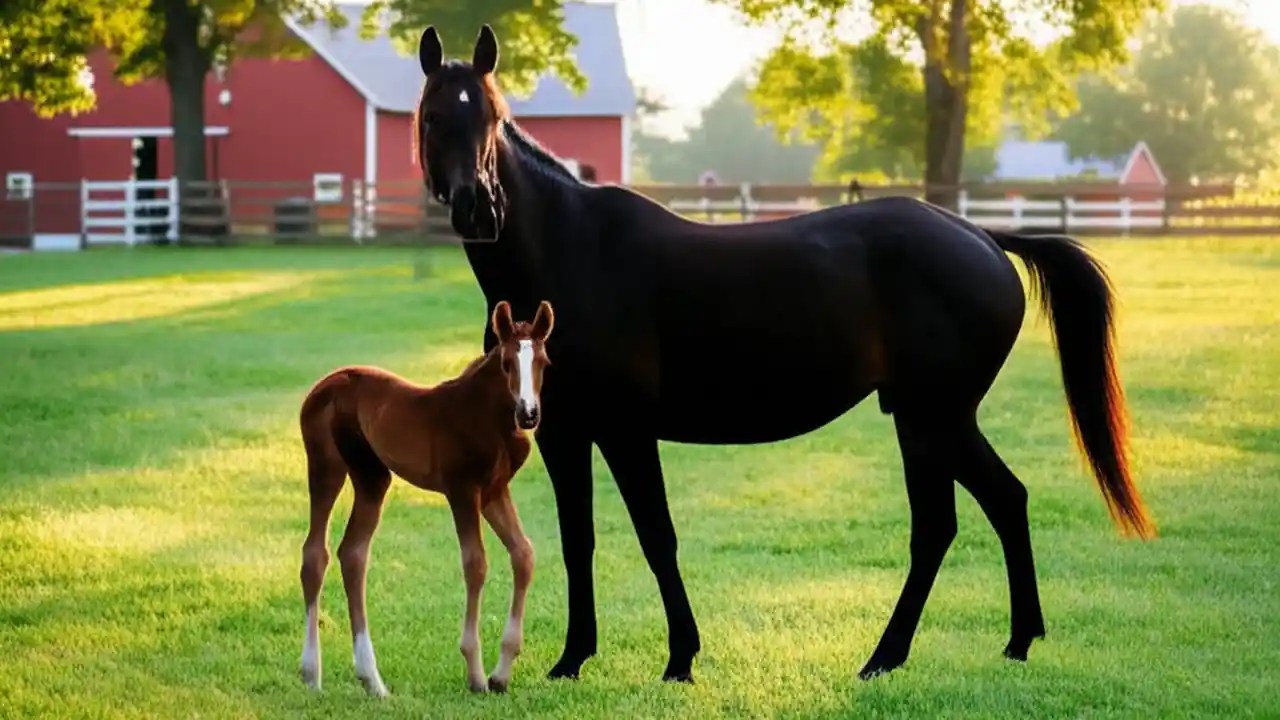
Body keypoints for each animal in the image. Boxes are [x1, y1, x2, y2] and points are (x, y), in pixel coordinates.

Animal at [297, 300, 555, 696]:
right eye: (507, 363)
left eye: (543, 362)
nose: (529, 414)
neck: (487, 415)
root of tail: (320, 386)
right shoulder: (462, 490)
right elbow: (476, 563)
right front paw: (476, 675)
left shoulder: (494, 492)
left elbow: (523, 554)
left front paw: (501, 674)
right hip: (329, 467)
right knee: (316, 553)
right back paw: (312, 673)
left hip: (373, 478)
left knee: (353, 554)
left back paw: (372, 681)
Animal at [411, 25, 1156, 684]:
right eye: (431, 117)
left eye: (491, 115)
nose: (478, 206)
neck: (571, 255)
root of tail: (981, 236)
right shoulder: (565, 433)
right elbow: (578, 540)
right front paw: (572, 660)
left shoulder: (626, 431)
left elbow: (655, 535)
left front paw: (680, 659)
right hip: (924, 421)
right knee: (971, 514)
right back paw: (968, 647)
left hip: (935, 417)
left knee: (969, 514)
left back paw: (920, 652)